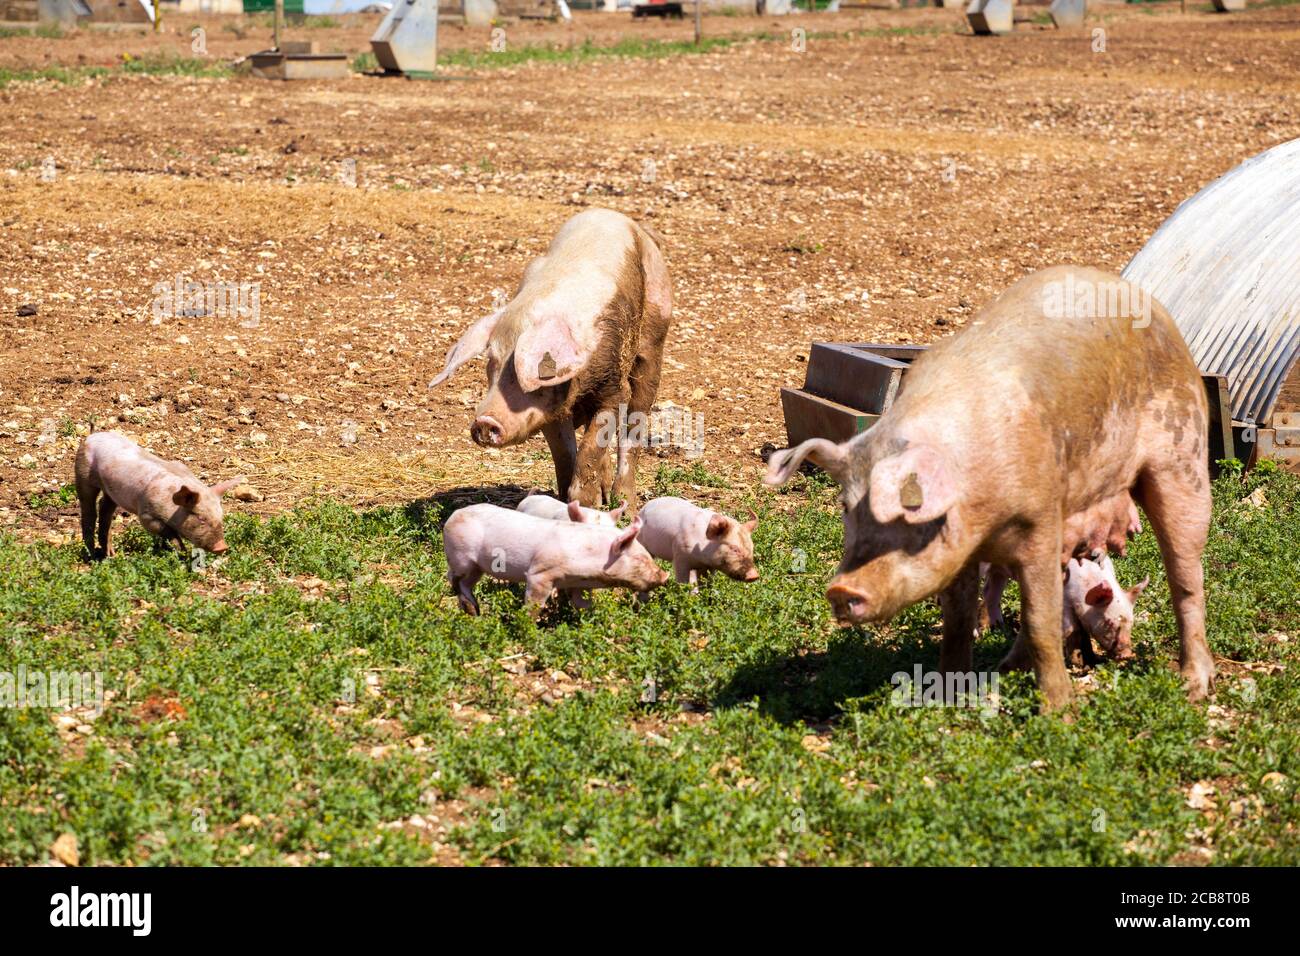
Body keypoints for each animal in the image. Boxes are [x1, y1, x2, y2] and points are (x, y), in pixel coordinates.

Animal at [74, 431, 244, 560]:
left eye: (220, 517)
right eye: (201, 518)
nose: (222, 546)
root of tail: (92, 435)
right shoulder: (146, 513)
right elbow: (168, 533)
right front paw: (183, 553)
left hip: (111, 491)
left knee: (105, 508)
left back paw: (111, 555)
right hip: (83, 472)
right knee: (88, 509)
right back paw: (92, 557)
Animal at [429, 208, 672, 515]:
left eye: (530, 368)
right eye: (491, 363)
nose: (484, 420)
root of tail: (631, 224)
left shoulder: (613, 387)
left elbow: (590, 449)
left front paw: (586, 506)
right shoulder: (547, 408)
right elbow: (566, 456)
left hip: (656, 324)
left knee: (634, 423)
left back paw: (625, 508)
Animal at [442, 503, 668, 616]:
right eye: (640, 558)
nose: (665, 576)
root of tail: (453, 515)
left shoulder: (574, 582)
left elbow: (579, 601)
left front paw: (592, 609)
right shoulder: (540, 574)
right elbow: (534, 604)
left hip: (477, 568)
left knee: (465, 583)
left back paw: (474, 610)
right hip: (461, 557)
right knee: (452, 577)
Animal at [766, 266, 1215, 713]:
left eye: (917, 508)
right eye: (847, 507)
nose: (842, 588)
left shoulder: (1041, 520)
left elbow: (1040, 620)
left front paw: (1059, 713)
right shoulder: (963, 552)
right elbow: (957, 617)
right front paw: (947, 695)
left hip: (1183, 458)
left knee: (1187, 577)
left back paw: (1194, 687)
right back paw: (1005, 667)